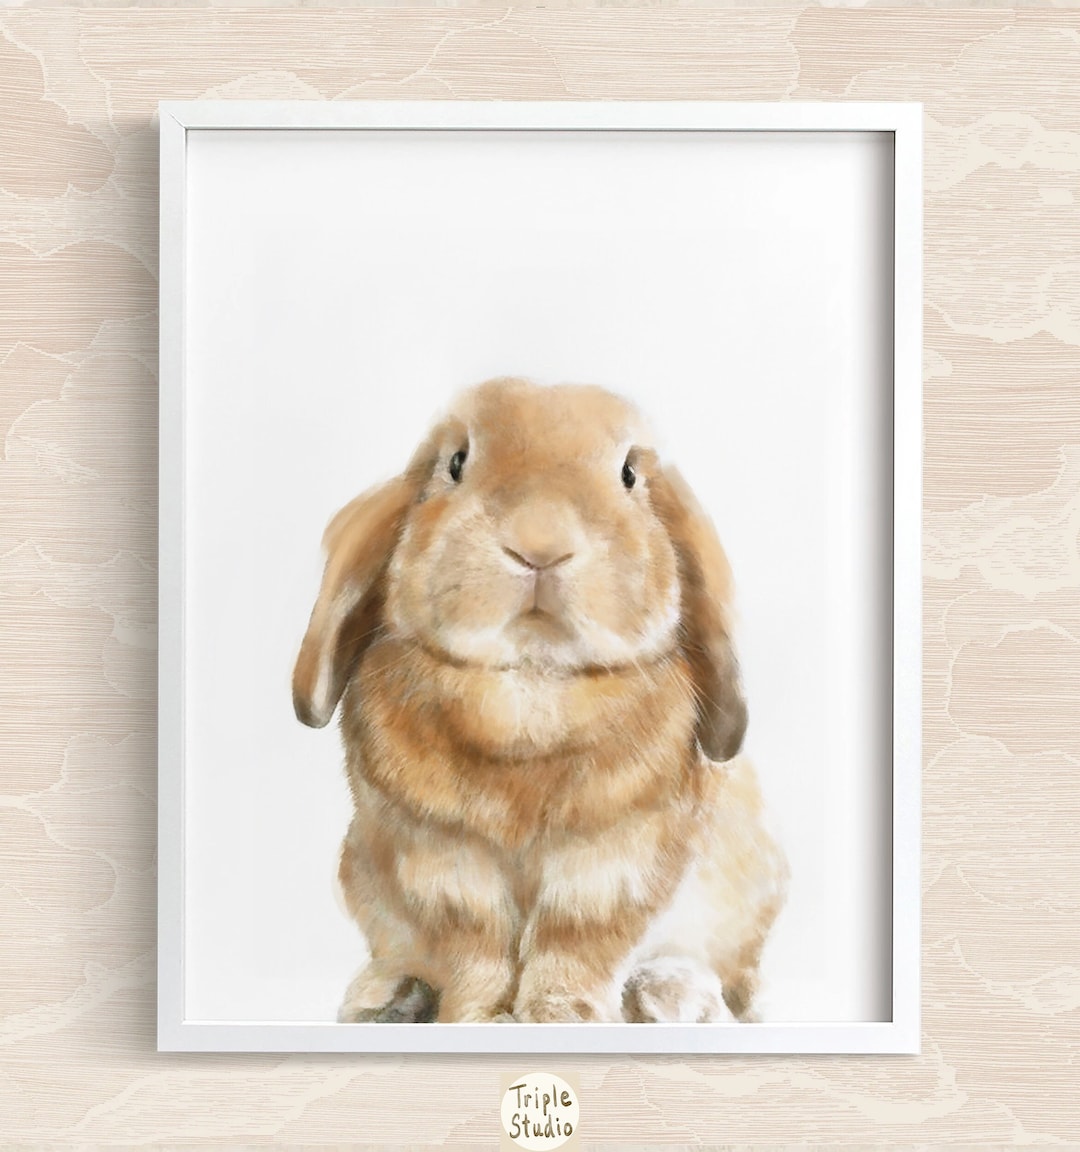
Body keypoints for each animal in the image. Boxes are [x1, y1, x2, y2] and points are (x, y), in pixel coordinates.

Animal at [293, 377, 788, 1025]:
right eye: (456, 463)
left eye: (629, 474)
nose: (540, 545)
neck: (531, 684)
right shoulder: (442, 861)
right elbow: (475, 946)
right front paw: (476, 1018)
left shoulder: (614, 862)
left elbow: (574, 944)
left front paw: (562, 1017)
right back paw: (385, 997)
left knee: (727, 978)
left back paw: (672, 998)